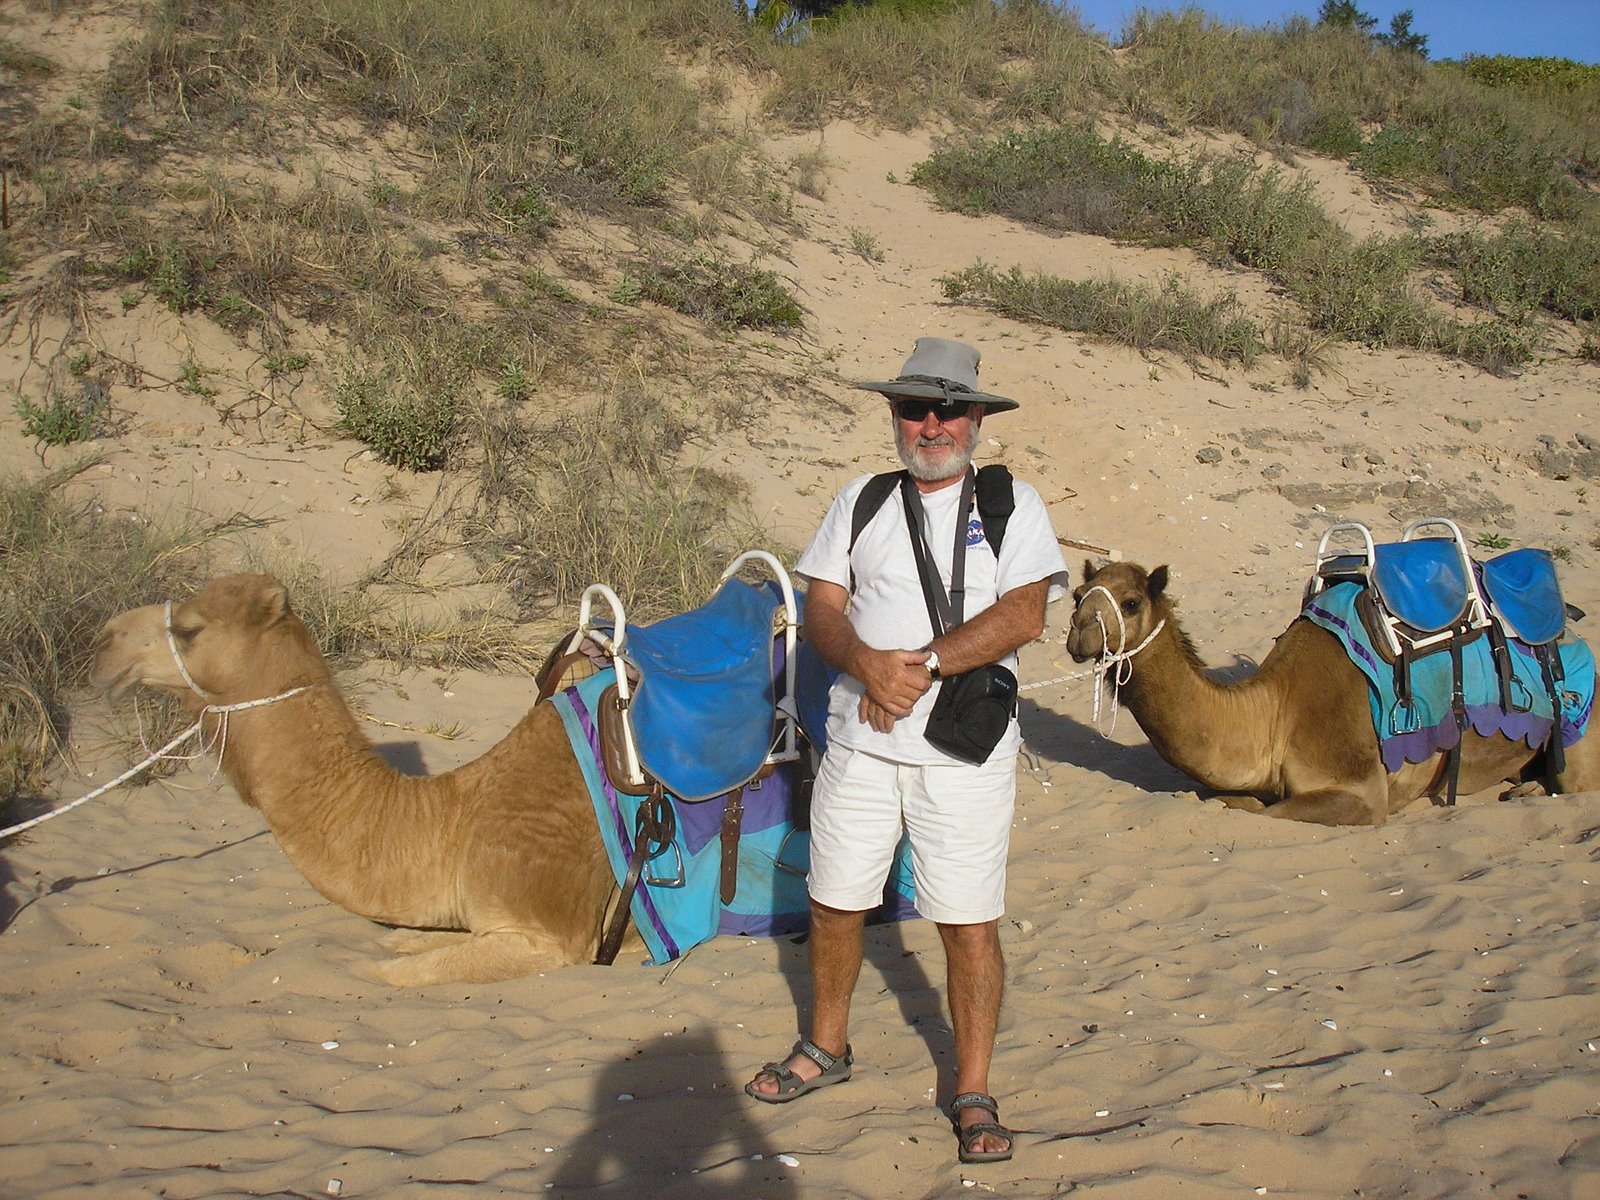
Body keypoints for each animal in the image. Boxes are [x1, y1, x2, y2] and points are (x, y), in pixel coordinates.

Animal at [91, 573, 631, 986]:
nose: (105, 639)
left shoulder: (548, 937)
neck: (452, 822)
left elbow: (381, 973)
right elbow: (406, 944)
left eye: (190, 628)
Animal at [1064, 560, 1599, 826]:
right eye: (1077, 595)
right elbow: (1223, 796)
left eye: (1131, 602)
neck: (1273, 712)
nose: (1079, 635)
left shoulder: (1359, 790)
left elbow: (1264, 809)